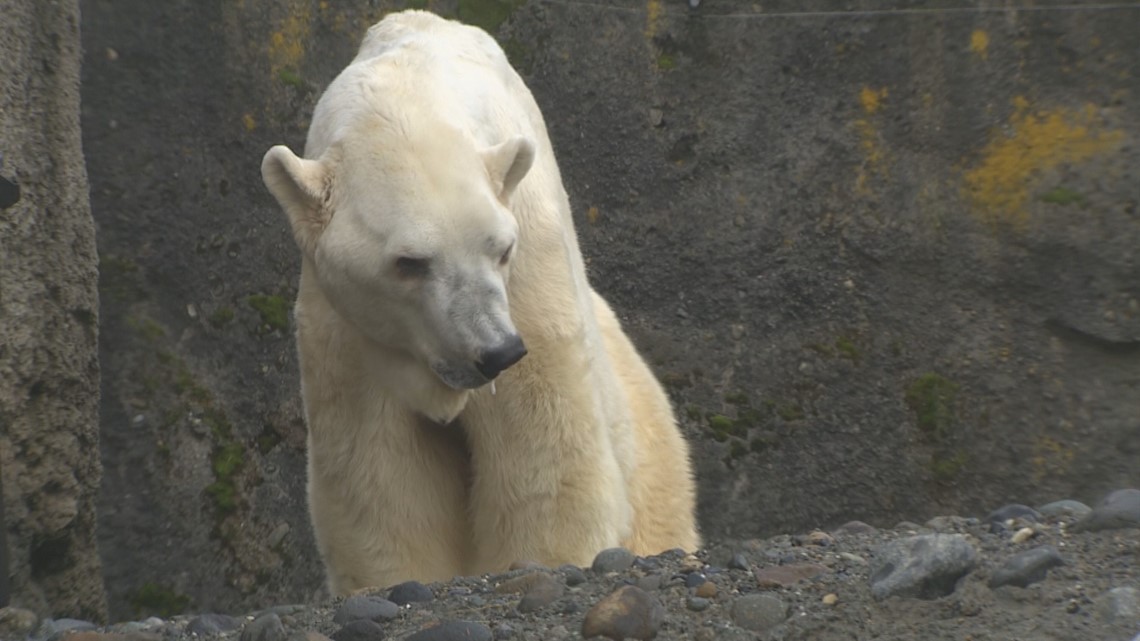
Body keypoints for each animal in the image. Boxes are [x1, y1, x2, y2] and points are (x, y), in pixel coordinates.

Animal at [260, 9, 699, 595]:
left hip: (648, 442)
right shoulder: (349, 335)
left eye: (501, 248)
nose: (496, 352)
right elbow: (379, 482)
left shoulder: (532, 280)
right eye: (410, 262)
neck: (415, 76)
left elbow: (546, 455)